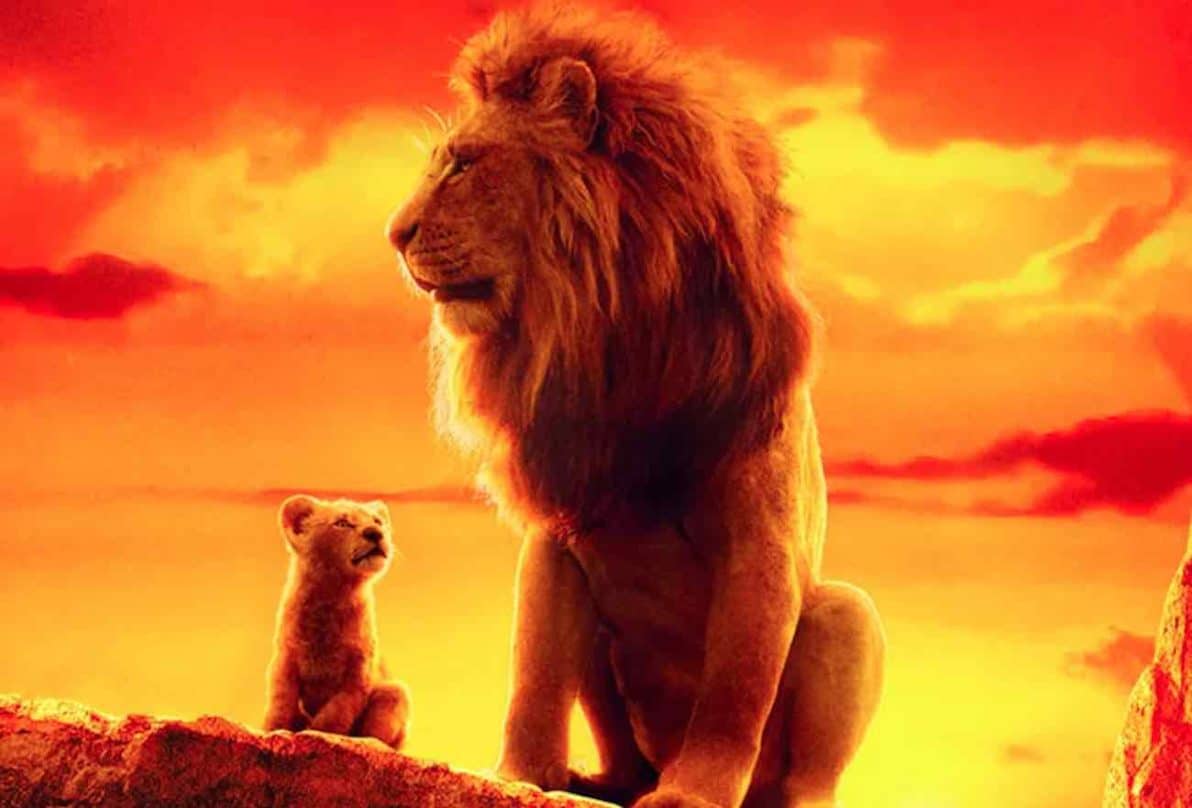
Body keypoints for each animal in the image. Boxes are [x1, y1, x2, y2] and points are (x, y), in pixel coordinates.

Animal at [264, 495, 409, 749]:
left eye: (377, 521)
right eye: (342, 523)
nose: (375, 533)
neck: (333, 595)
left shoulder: (358, 673)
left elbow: (337, 712)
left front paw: (319, 735)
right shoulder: (285, 660)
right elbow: (281, 702)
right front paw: (274, 731)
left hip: (395, 691)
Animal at [386, 5, 884, 806]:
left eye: (463, 164)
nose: (393, 235)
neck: (610, 336)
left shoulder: (762, 543)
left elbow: (734, 693)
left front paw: (692, 793)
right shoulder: (558, 527)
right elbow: (533, 676)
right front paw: (516, 775)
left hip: (849, 615)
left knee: (805, 767)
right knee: (618, 751)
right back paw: (594, 780)